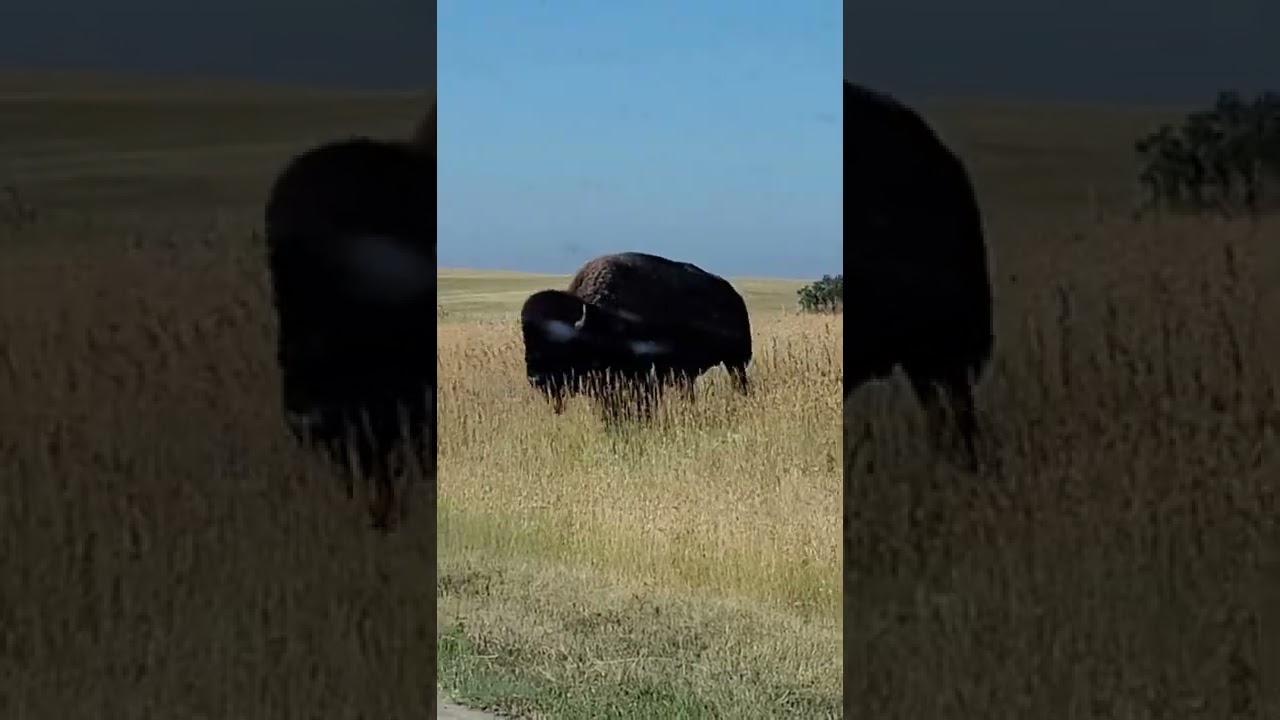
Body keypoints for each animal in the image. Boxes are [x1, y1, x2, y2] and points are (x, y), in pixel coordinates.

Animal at [520, 251, 753, 419]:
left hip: (736, 361)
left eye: (559, 344)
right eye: (527, 341)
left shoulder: (647, 379)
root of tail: (733, 295)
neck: (599, 319)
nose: (535, 378)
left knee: (739, 381)